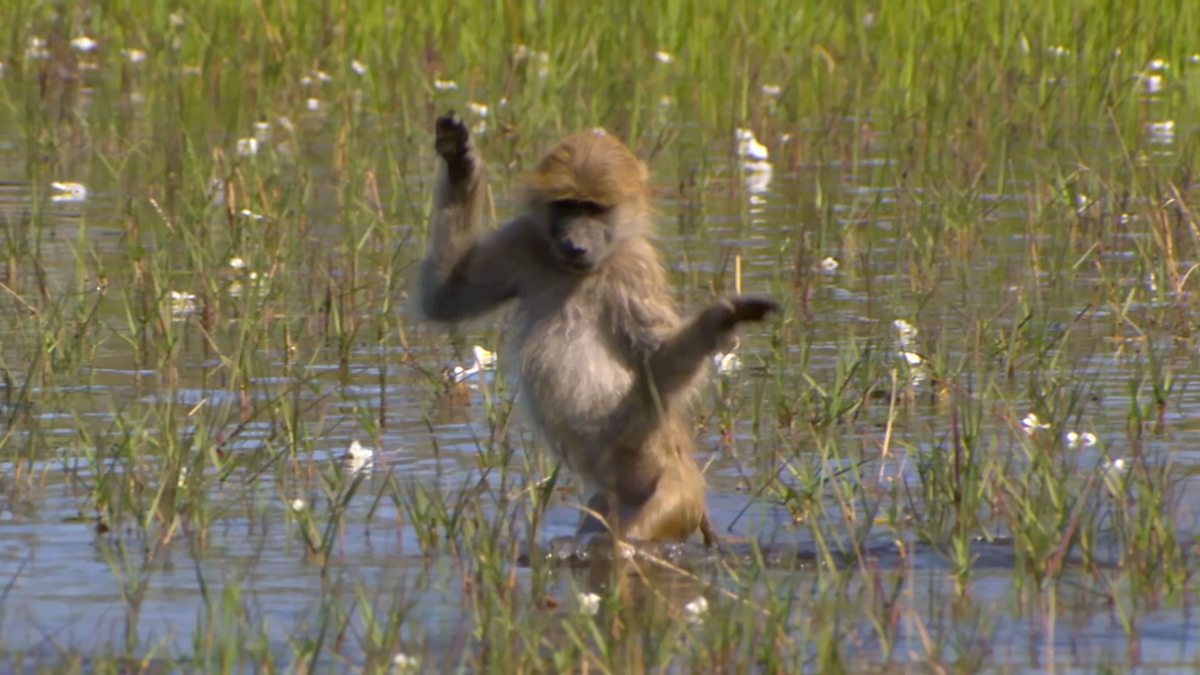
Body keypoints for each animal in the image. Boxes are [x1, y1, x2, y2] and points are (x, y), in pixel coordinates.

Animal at [419, 112, 777, 544]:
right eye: (568, 206)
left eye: (594, 209)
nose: (576, 244)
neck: (582, 272)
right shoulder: (525, 240)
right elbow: (445, 297)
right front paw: (460, 162)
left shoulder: (635, 269)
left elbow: (654, 359)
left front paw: (720, 319)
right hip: (606, 503)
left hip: (670, 498)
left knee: (624, 543)